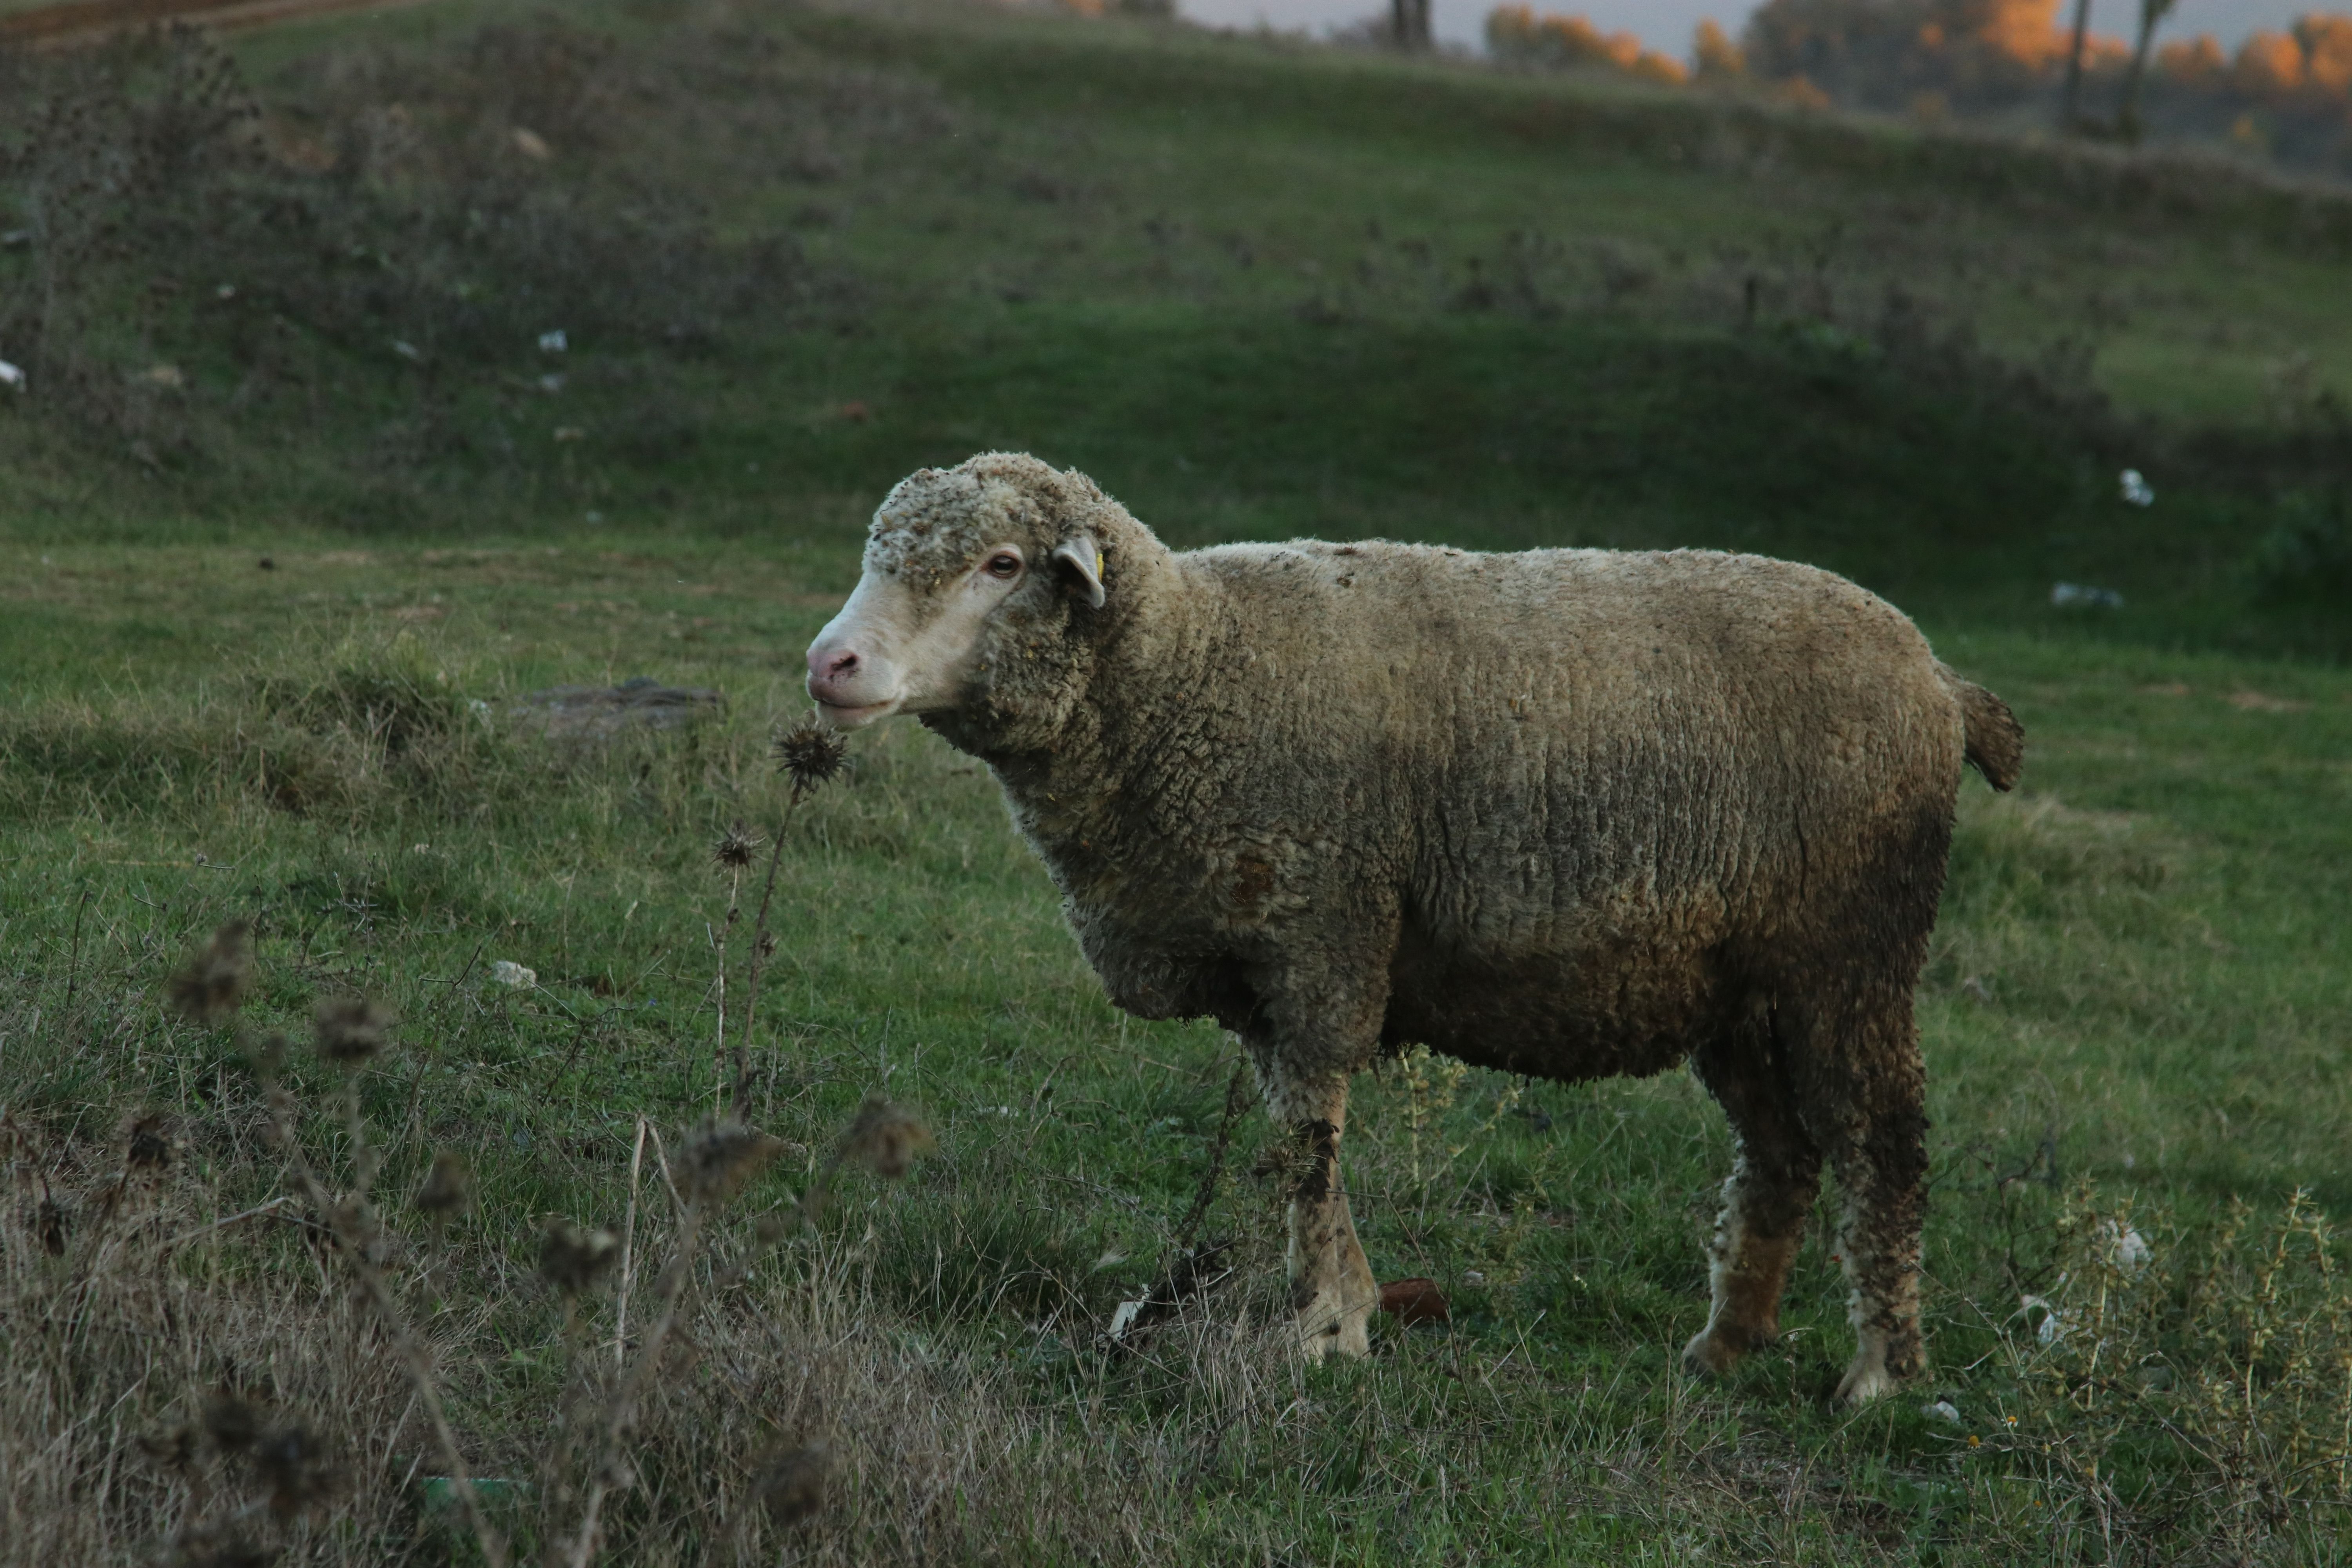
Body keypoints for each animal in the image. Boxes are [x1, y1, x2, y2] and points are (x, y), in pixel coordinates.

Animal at [805, 451, 2024, 1404]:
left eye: (1002, 566)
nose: (830, 664)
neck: (1188, 674)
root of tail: (1941, 679)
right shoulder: (1269, 969)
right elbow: (1300, 1137)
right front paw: (1346, 1309)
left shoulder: (1325, 934)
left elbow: (1310, 1136)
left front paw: (1321, 1328)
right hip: (1743, 986)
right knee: (1781, 1154)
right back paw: (1724, 1349)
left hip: (1852, 952)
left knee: (1882, 1141)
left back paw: (1882, 1376)